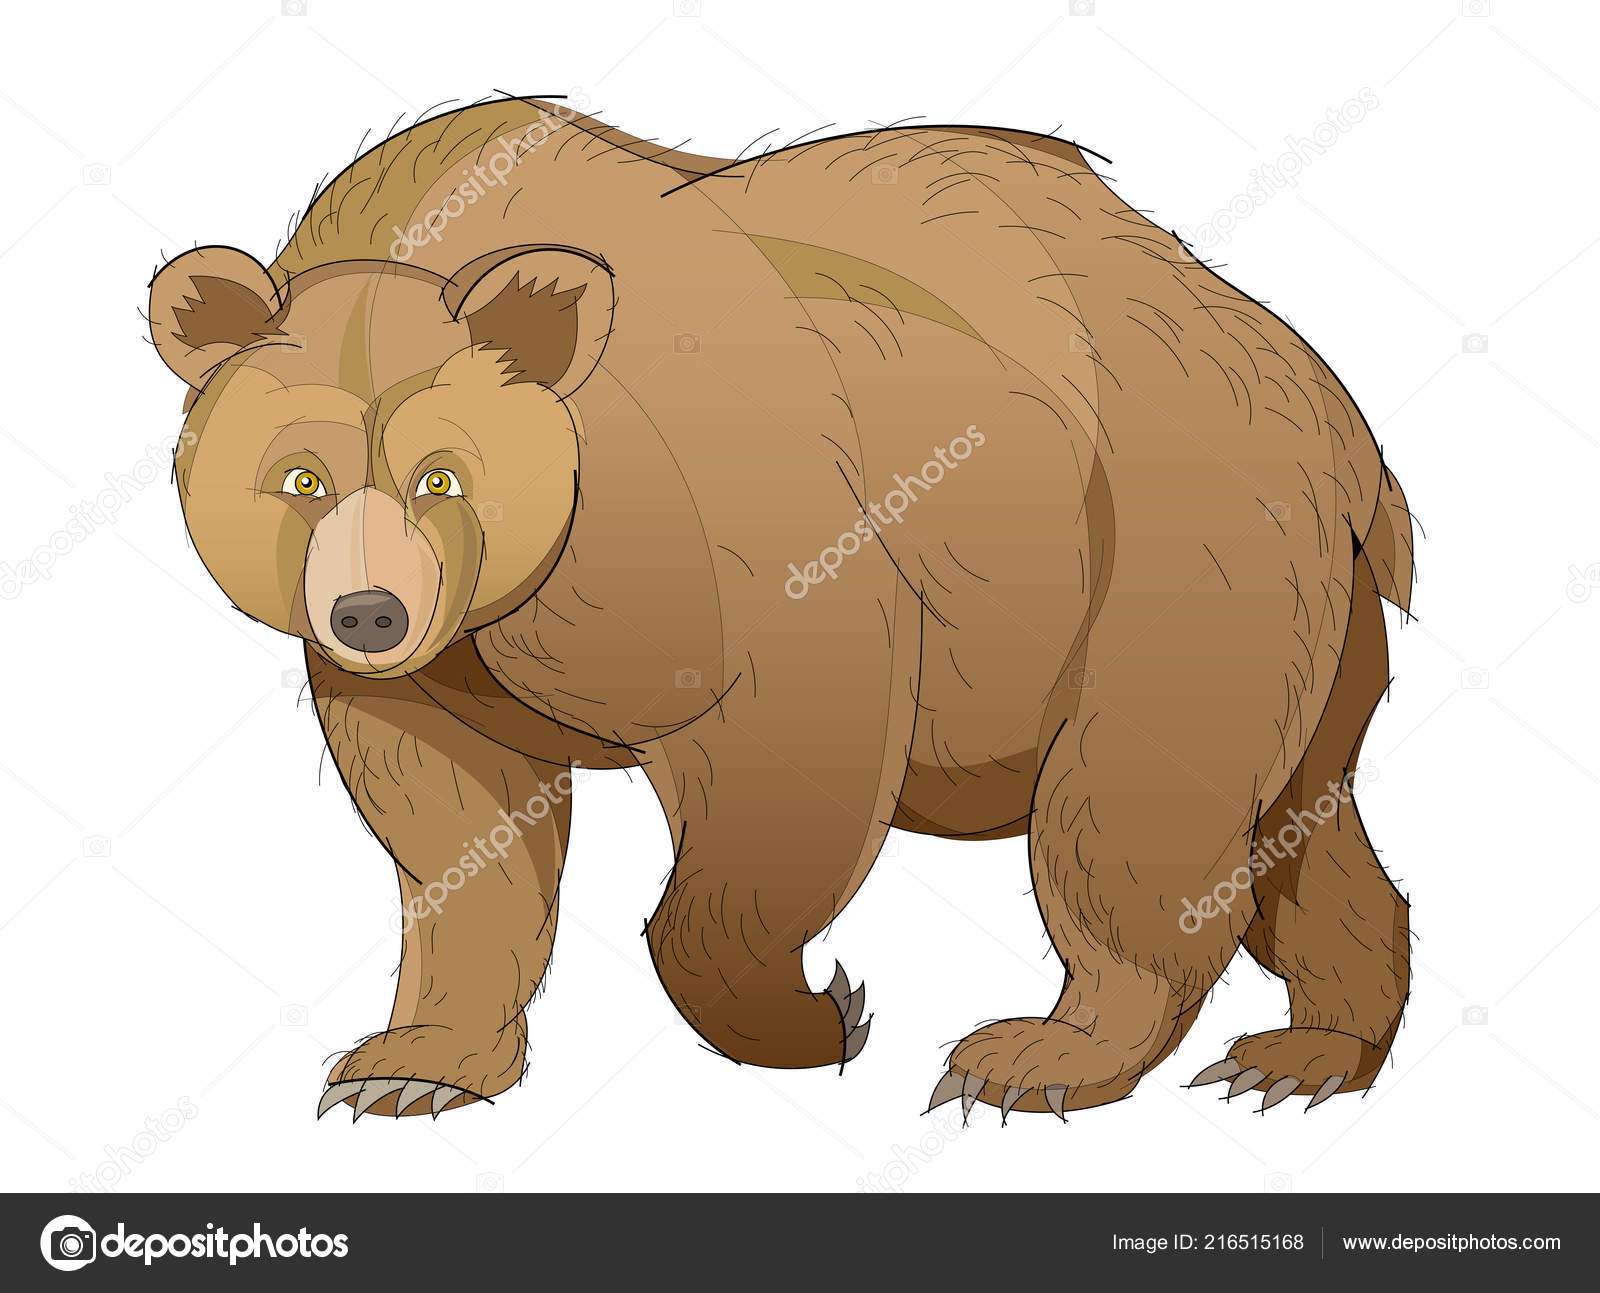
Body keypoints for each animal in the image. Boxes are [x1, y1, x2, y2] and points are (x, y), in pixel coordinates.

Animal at [146, 99, 1415, 1122]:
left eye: (441, 475)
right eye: (299, 477)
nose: (366, 612)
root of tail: (1323, 394)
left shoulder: (743, 530)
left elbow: (785, 768)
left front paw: (816, 1013)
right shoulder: (444, 670)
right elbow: (452, 825)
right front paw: (410, 1066)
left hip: (1179, 540)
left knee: (1131, 806)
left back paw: (1038, 1055)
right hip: (1299, 600)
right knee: (1301, 823)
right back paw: (1308, 1050)